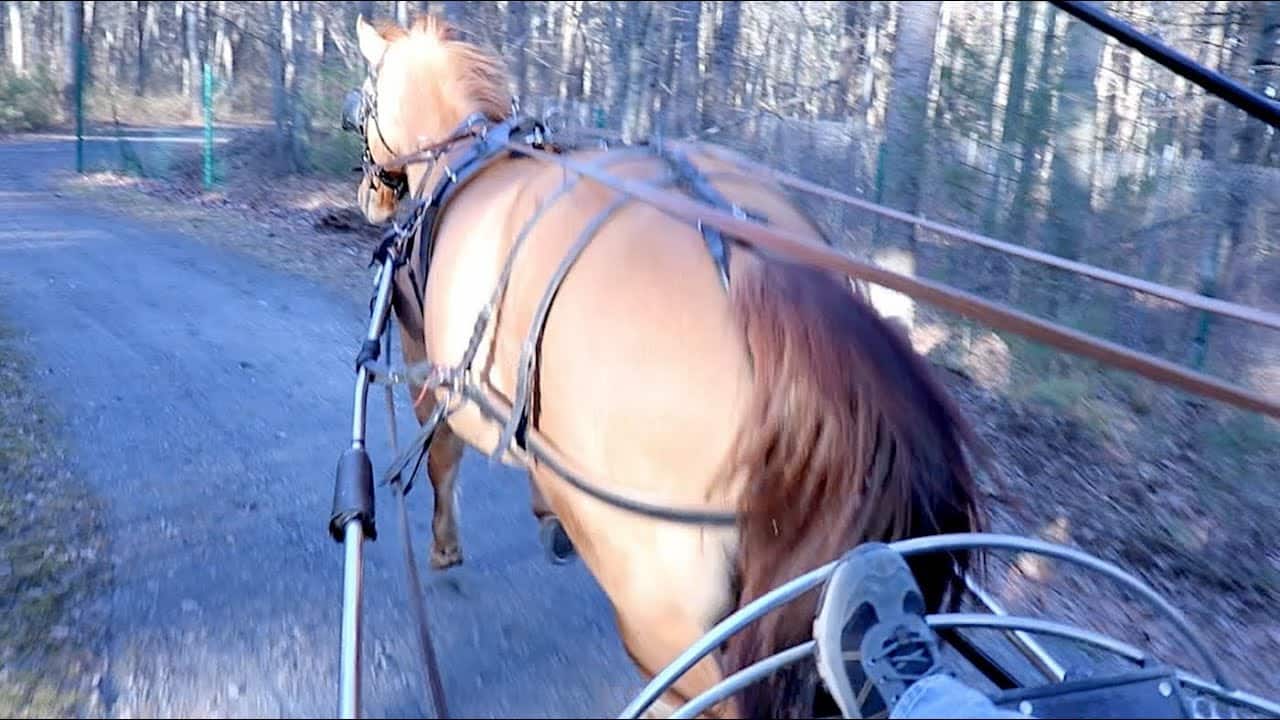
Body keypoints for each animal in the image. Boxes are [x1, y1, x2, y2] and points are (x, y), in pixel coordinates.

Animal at [344, 14, 987, 719]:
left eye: (364, 100)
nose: (369, 195)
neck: (465, 157)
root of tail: (755, 267)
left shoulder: (424, 361)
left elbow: (441, 458)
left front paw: (445, 548)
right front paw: (545, 514)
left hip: (660, 598)